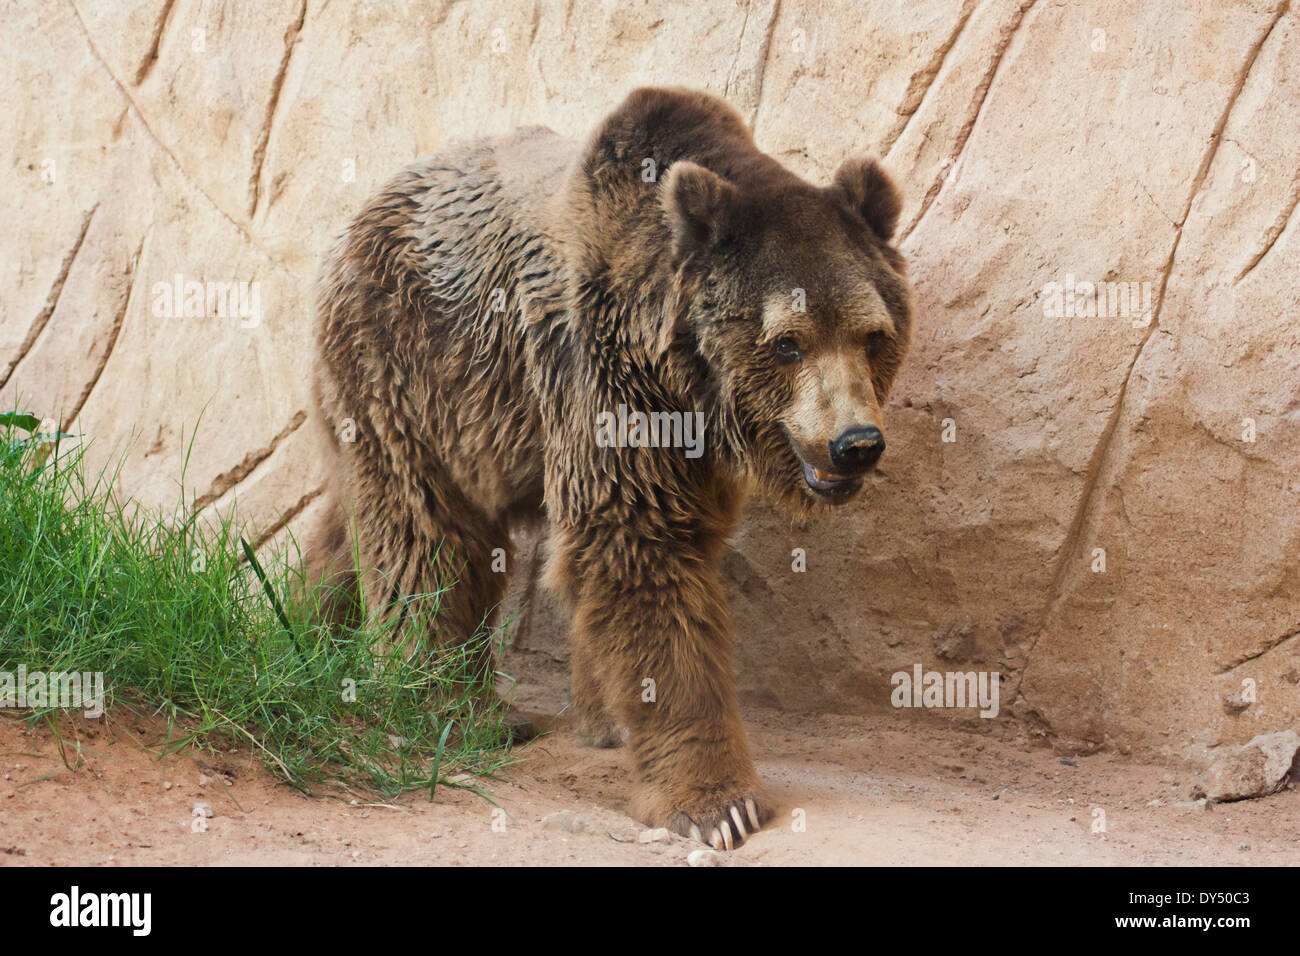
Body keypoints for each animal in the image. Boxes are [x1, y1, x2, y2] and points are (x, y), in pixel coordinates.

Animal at [308, 87, 913, 849]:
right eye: (788, 342)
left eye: (873, 335)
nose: (854, 443)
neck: (682, 370)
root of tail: (360, 213)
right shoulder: (605, 378)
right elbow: (638, 553)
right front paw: (720, 803)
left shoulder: (691, 449)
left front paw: (608, 722)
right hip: (409, 362)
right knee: (425, 532)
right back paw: (444, 704)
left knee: (349, 517)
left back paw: (311, 628)